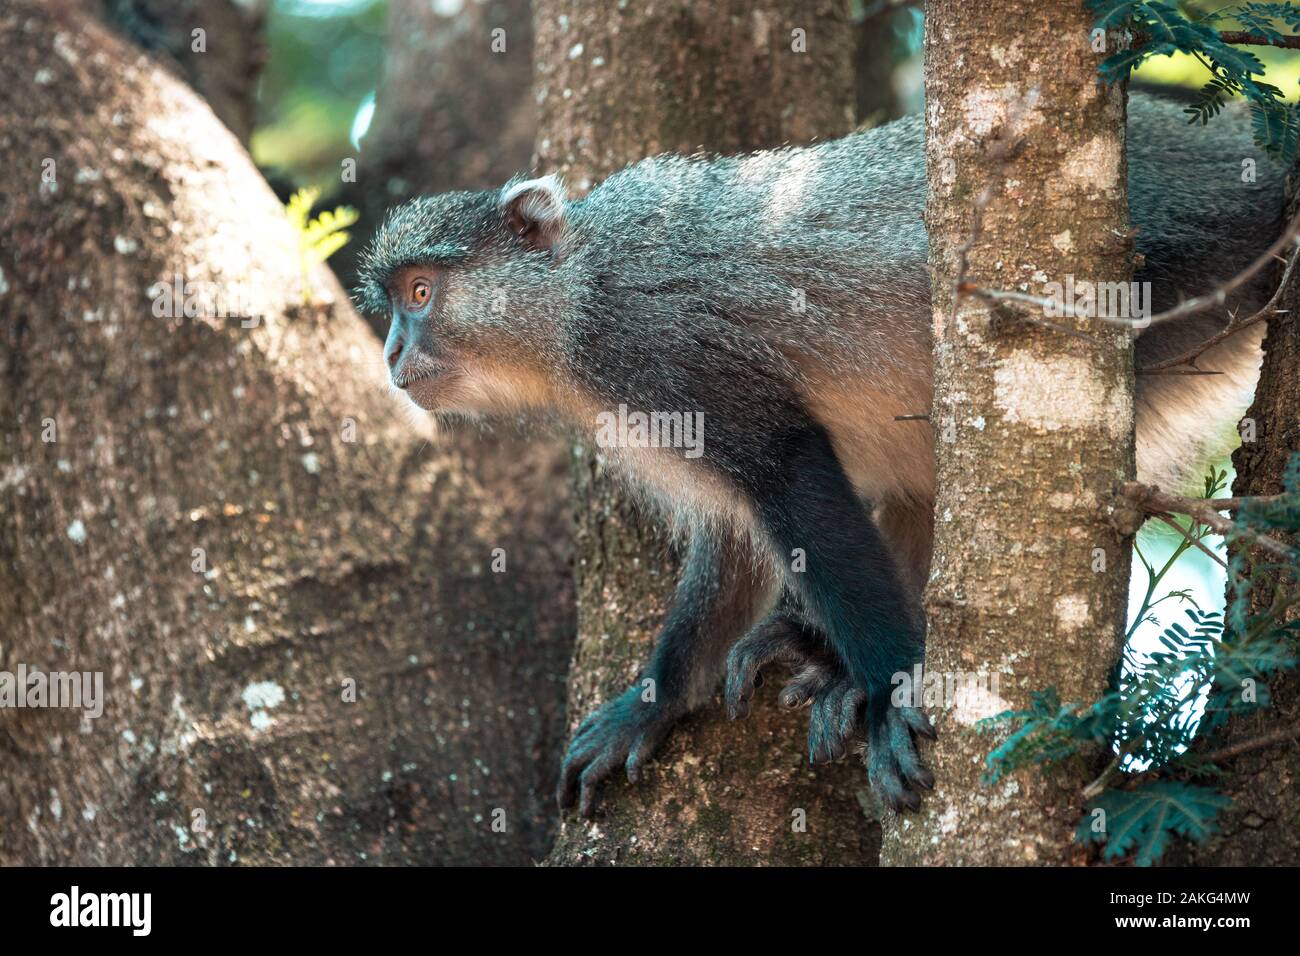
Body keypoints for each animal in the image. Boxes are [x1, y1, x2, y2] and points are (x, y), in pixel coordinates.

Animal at [356, 92, 1283, 816]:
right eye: (396, 304)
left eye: (422, 292)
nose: (394, 354)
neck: (576, 296)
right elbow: (732, 538)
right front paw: (652, 702)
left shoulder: (659, 351)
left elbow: (789, 472)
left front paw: (895, 688)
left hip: (1189, 281)